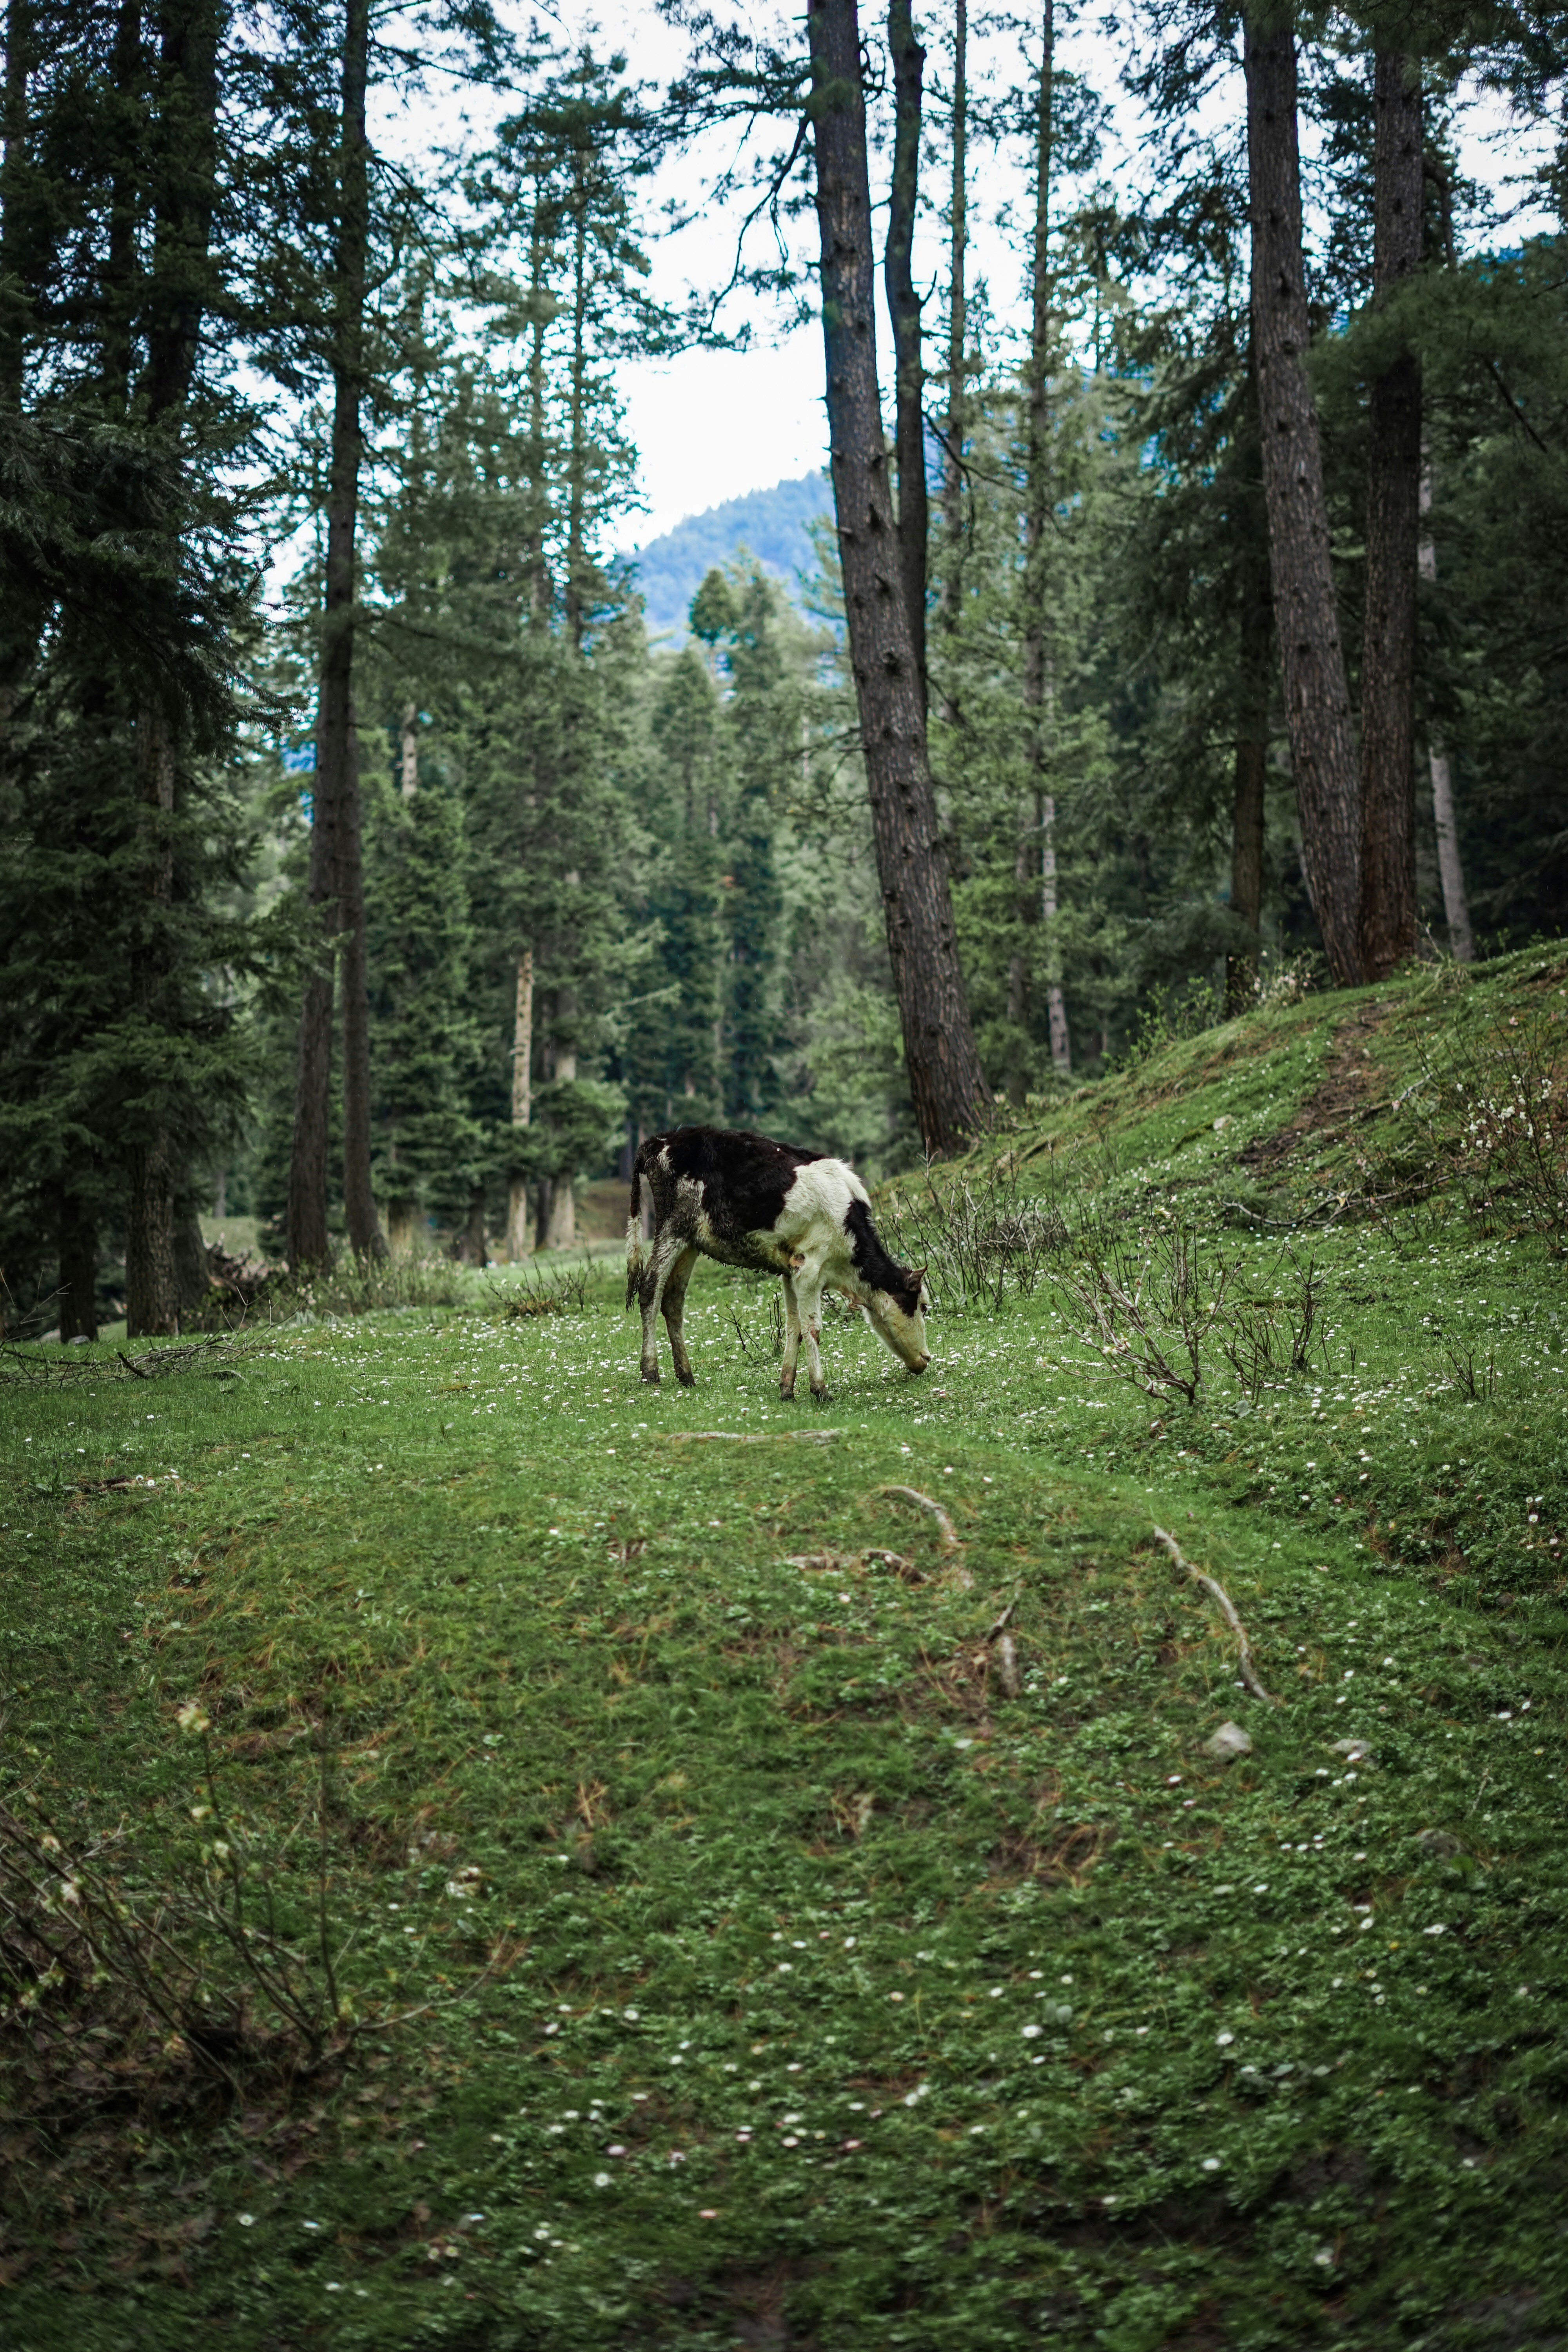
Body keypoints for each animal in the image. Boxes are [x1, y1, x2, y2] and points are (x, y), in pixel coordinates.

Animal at [625, 1126, 931, 1400]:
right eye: (924, 1307)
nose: (927, 1358)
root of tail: (659, 1141)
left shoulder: (791, 1270)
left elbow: (794, 1328)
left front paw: (787, 1389)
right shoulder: (810, 1269)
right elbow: (812, 1328)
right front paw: (820, 1390)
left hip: (690, 1242)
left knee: (673, 1300)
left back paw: (686, 1375)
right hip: (672, 1226)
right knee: (650, 1289)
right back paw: (650, 1371)